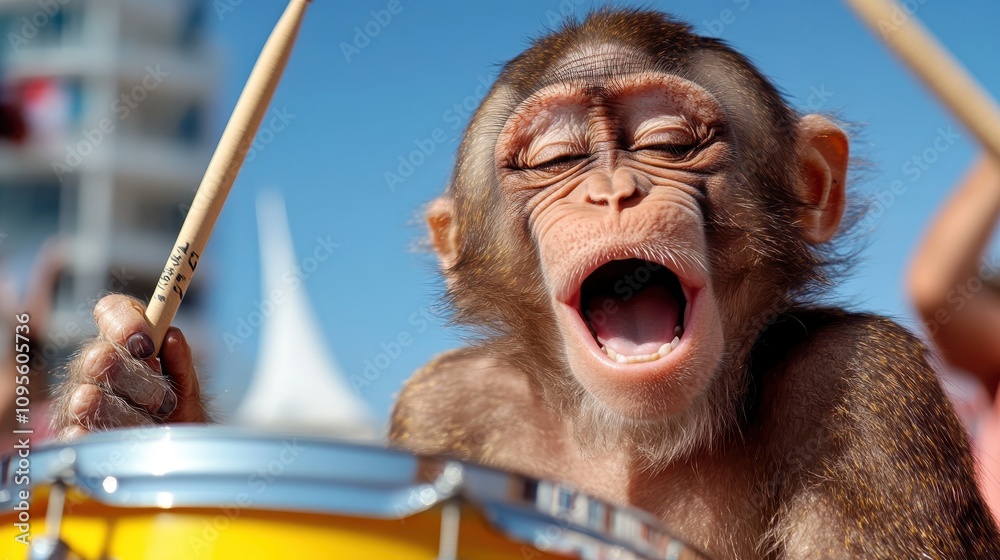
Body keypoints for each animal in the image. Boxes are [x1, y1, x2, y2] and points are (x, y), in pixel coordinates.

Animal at [53, 9, 999, 559]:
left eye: (669, 143)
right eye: (556, 160)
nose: (611, 189)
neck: (634, 439)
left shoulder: (869, 390)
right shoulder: (445, 404)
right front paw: (128, 396)